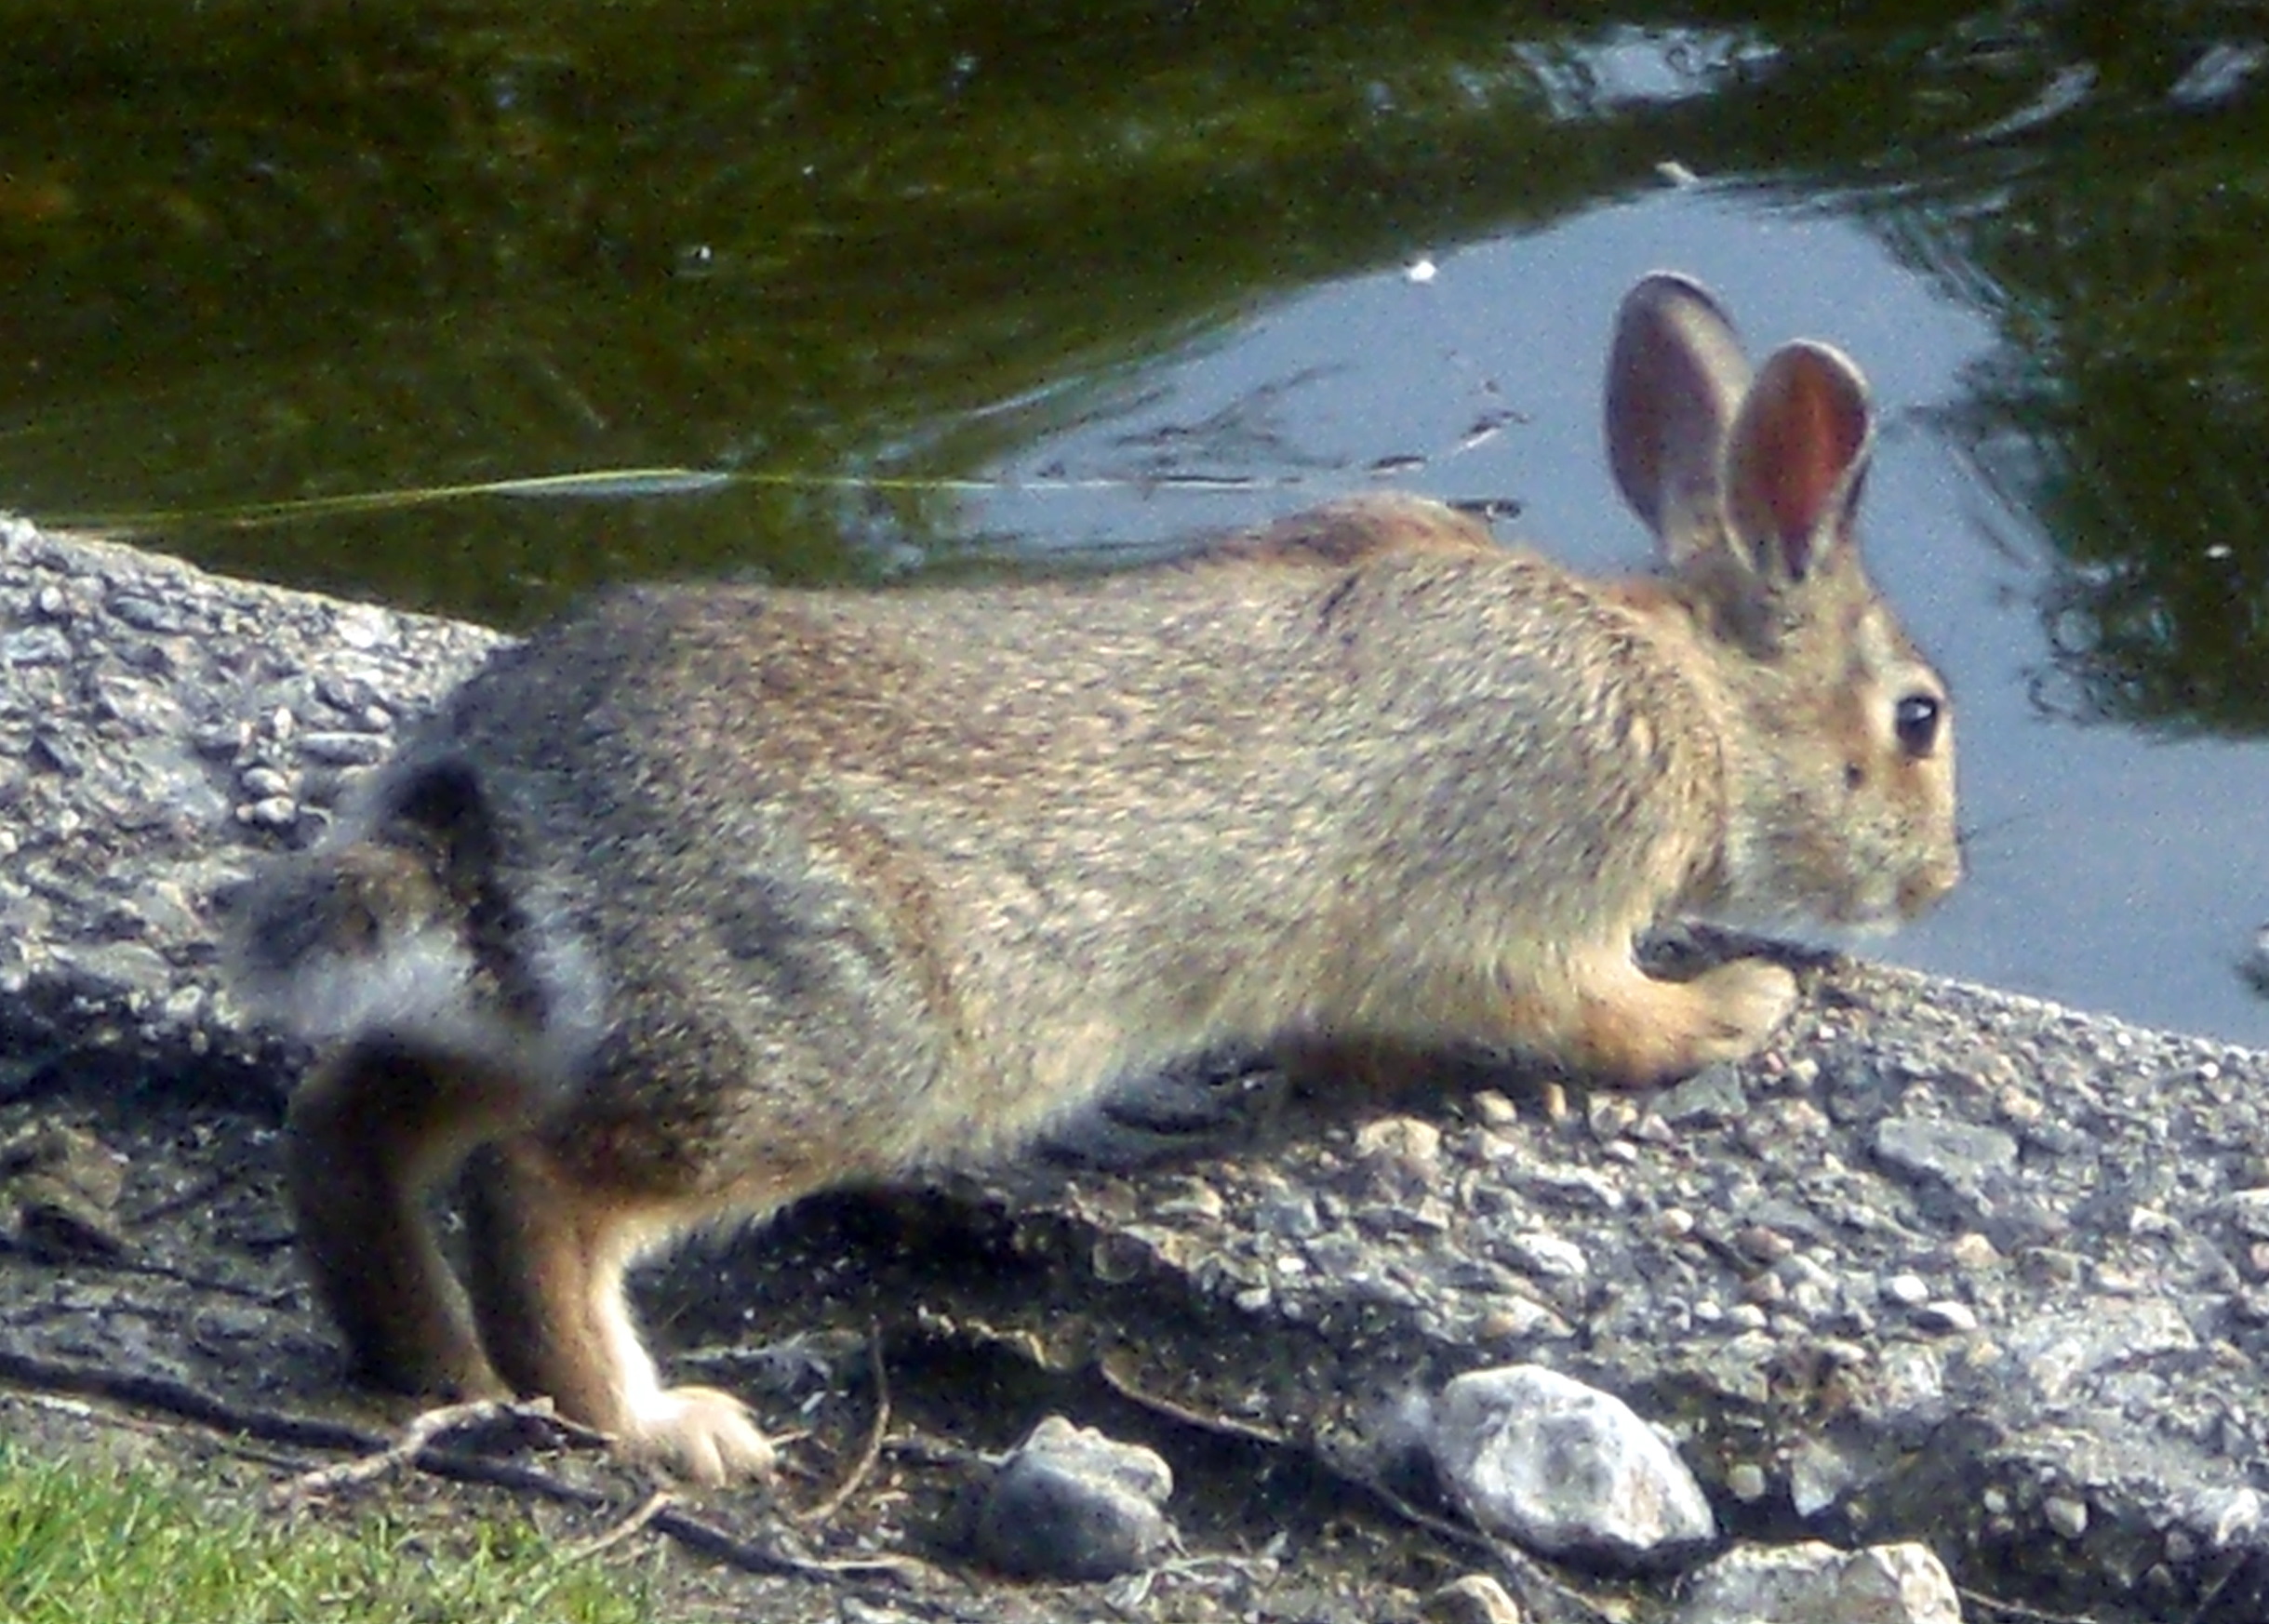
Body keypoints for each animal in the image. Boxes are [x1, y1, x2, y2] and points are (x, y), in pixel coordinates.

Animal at [228, 271, 1959, 1486]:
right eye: (1915, 718)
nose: (1940, 876)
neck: (1693, 695)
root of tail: (498, 797)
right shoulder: (1532, 904)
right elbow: (1591, 1015)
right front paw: (1733, 1004)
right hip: (822, 1040)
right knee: (542, 1196)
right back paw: (661, 1428)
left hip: (520, 1017)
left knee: (348, 1125)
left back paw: (430, 1360)